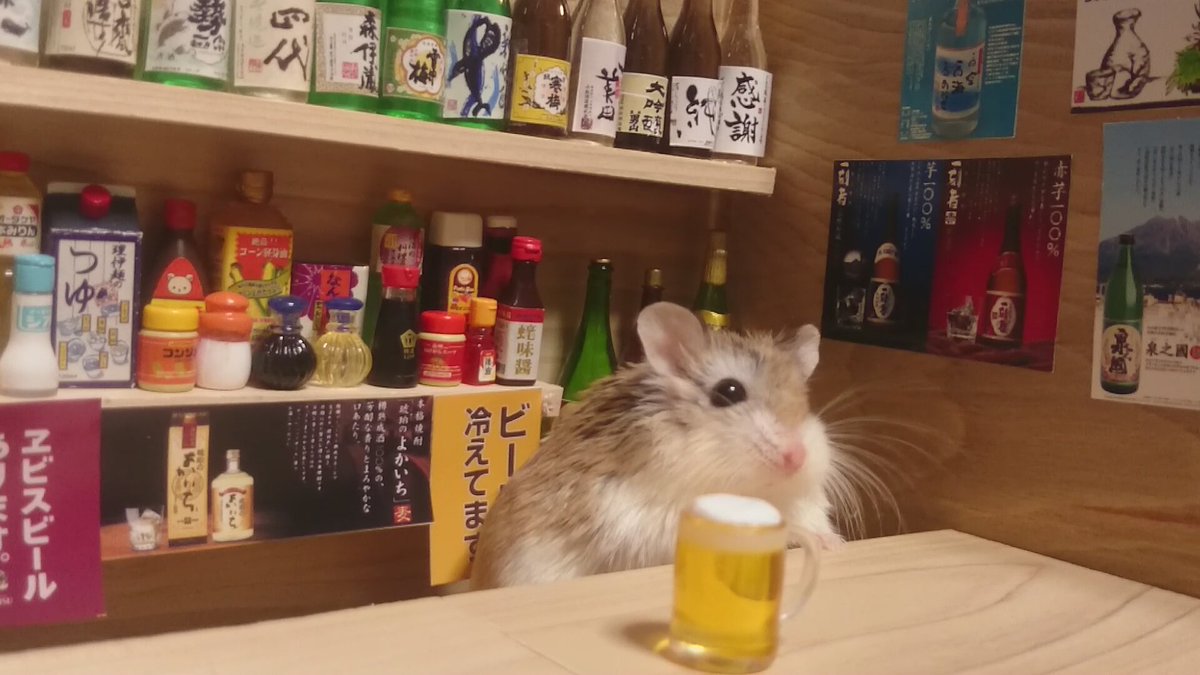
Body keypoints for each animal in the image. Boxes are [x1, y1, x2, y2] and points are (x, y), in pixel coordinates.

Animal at [470, 301, 841, 590]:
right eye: (729, 391)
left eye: (804, 398)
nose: (797, 458)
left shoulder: (802, 499)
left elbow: (810, 520)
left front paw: (832, 544)